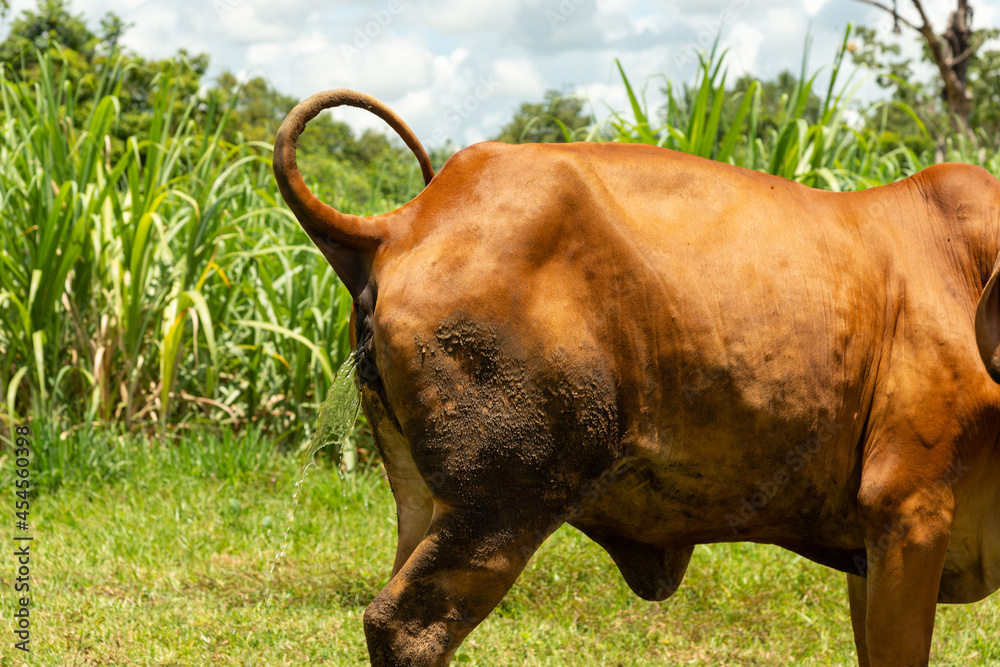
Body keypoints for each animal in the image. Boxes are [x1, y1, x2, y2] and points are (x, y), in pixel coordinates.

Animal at [272, 89, 1000, 667]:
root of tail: (400, 224)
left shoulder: (870, 552)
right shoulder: (909, 514)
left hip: (426, 499)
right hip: (502, 501)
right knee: (407, 626)